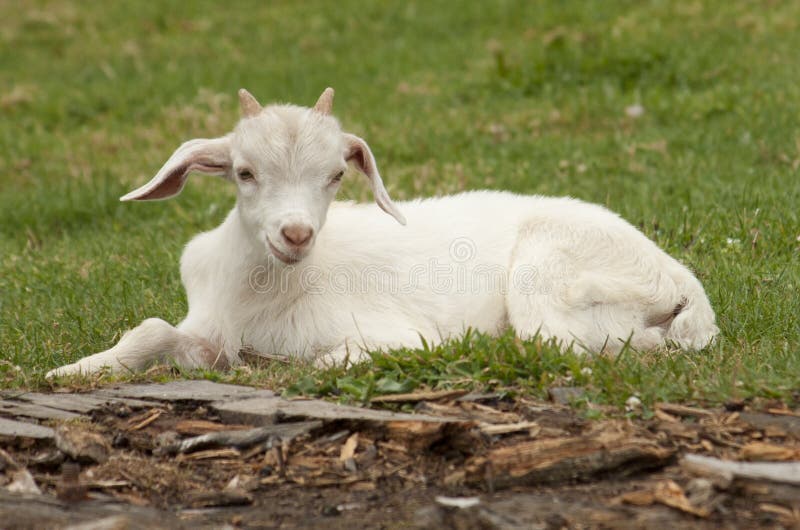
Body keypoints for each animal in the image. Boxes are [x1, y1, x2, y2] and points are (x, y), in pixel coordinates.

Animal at [47, 88, 719, 378]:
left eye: (335, 175)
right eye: (243, 172)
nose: (295, 234)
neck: (259, 294)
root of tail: (681, 283)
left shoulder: (388, 331)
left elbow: (332, 359)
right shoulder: (208, 328)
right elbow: (153, 331)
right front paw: (74, 371)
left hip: (551, 276)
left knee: (570, 346)